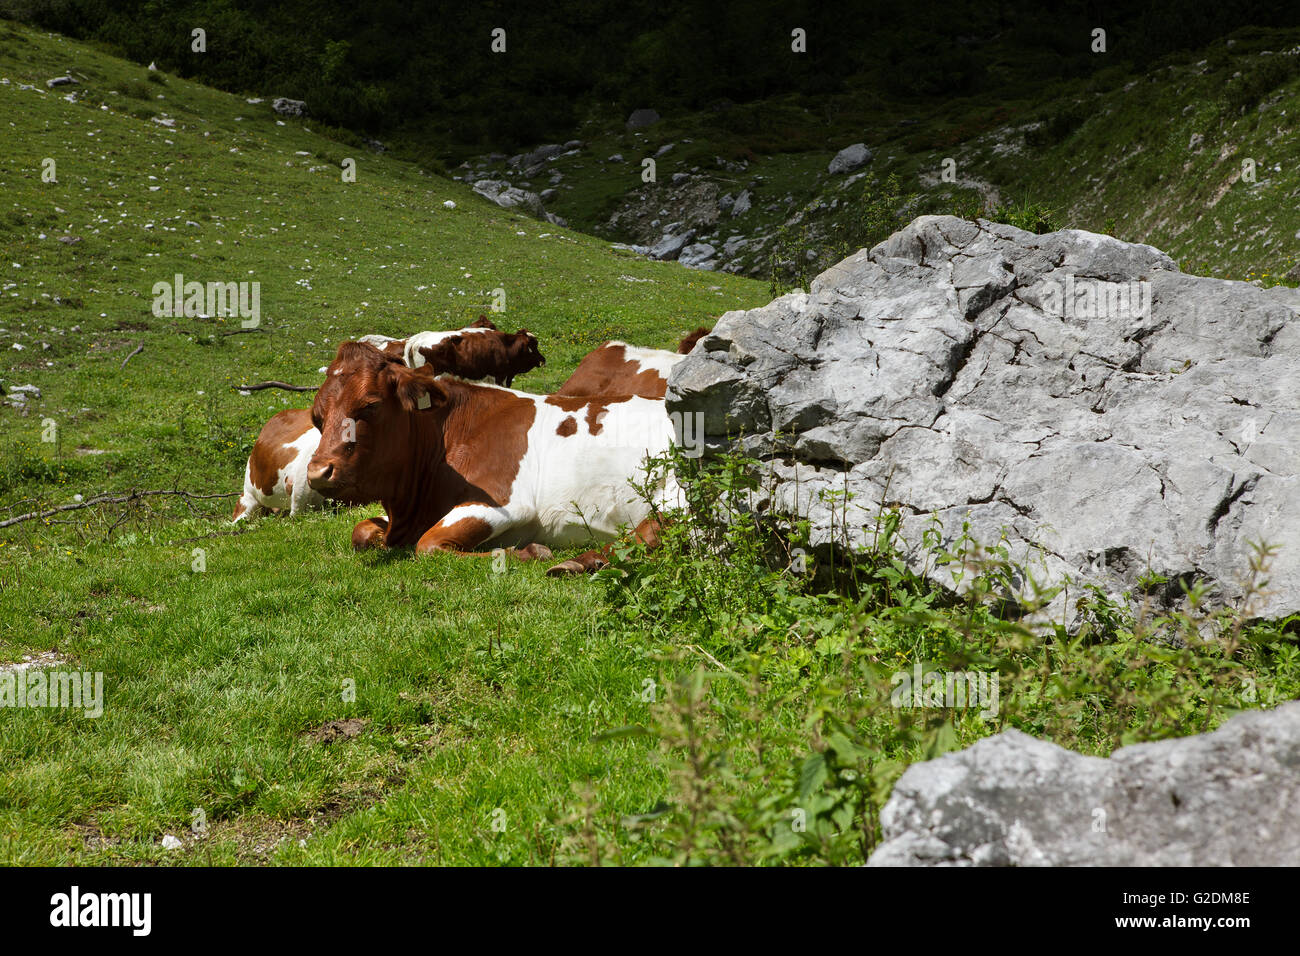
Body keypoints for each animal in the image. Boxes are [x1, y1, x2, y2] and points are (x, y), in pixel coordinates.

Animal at [305, 341, 677, 574]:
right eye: (316, 416)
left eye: (370, 405)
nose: (317, 472)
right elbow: (361, 531)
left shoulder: (505, 503)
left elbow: (429, 545)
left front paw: (528, 551)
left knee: (650, 533)